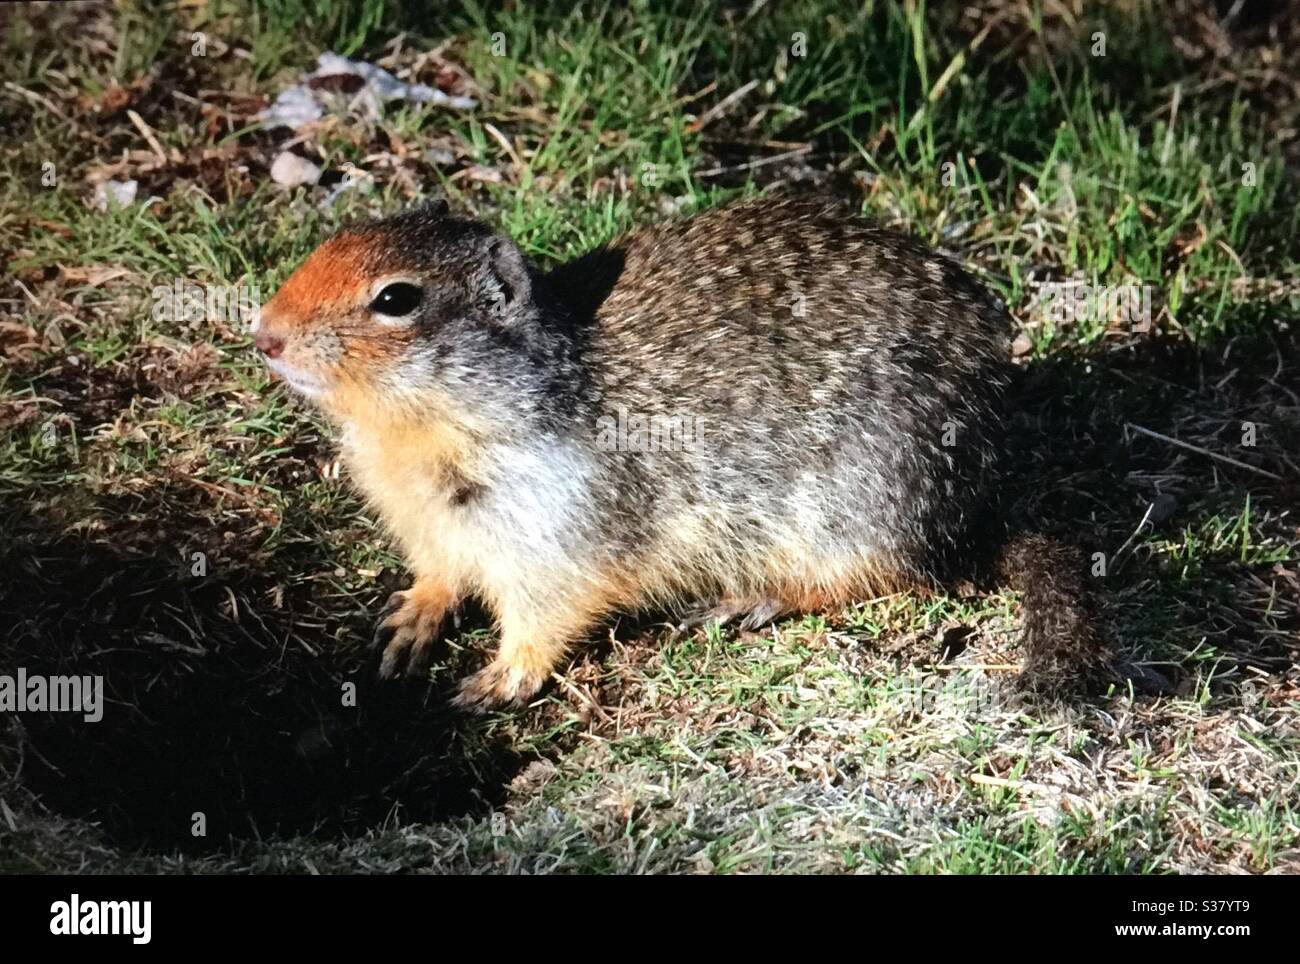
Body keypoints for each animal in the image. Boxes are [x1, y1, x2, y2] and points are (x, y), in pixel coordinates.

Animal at [255, 195, 1109, 710]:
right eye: (332, 240)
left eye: (396, 299)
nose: (264, 335)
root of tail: (985, 485)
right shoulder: (431, 521)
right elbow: (440, 571)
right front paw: (408, 621)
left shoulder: (559, 523)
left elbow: (547, 611)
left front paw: (497, 679)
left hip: (863, 506)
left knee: (889, 573)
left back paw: (752, 600)